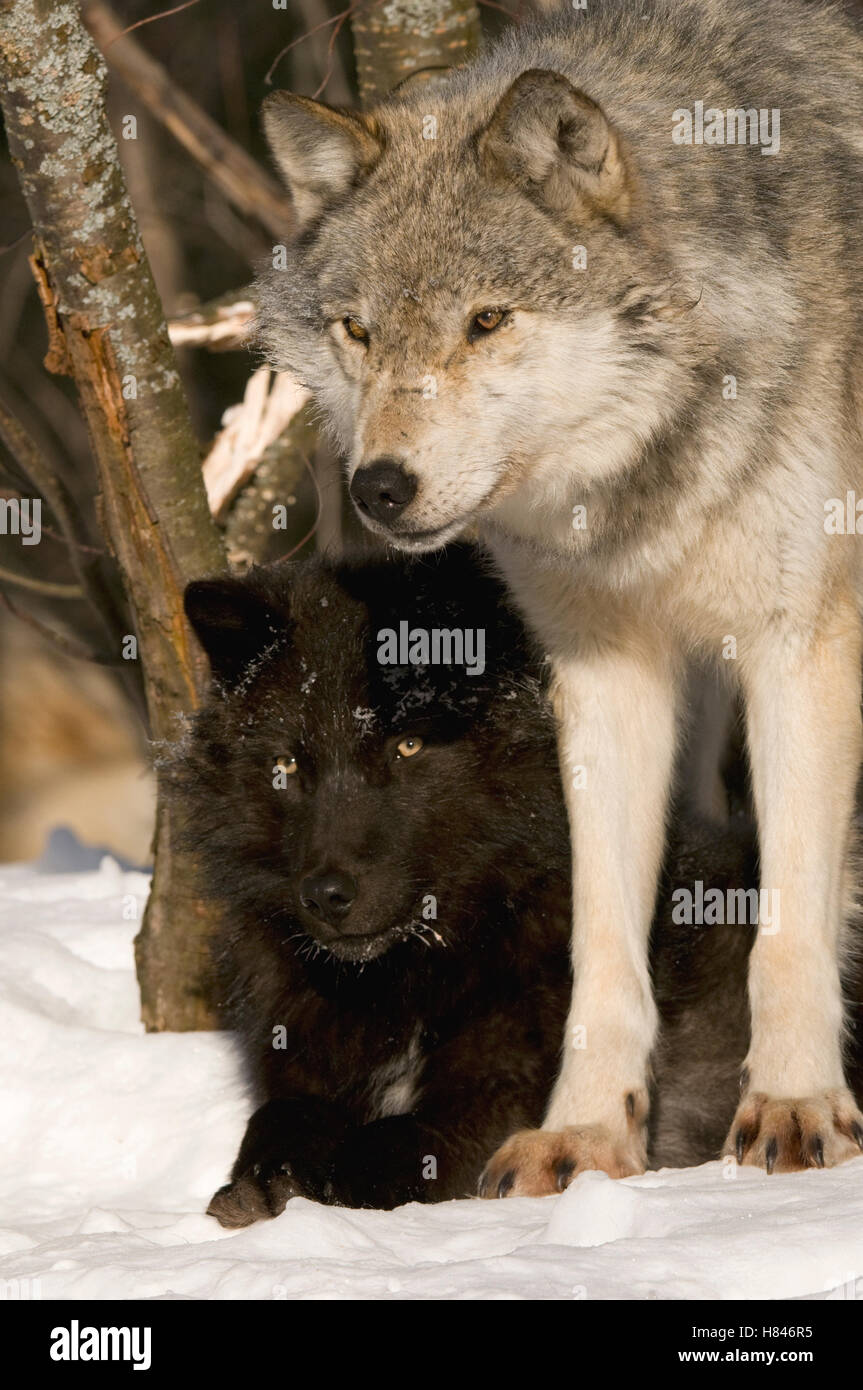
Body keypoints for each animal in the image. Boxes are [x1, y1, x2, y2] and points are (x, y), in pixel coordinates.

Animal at [258, 0, 863, 1192]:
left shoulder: (799, 640)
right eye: (358, 330)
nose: (378, 486)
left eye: (487, 321)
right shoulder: (603, 669)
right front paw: (585, 1134)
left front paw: (792, 1108)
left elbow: (787, 931)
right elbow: (602, 942)